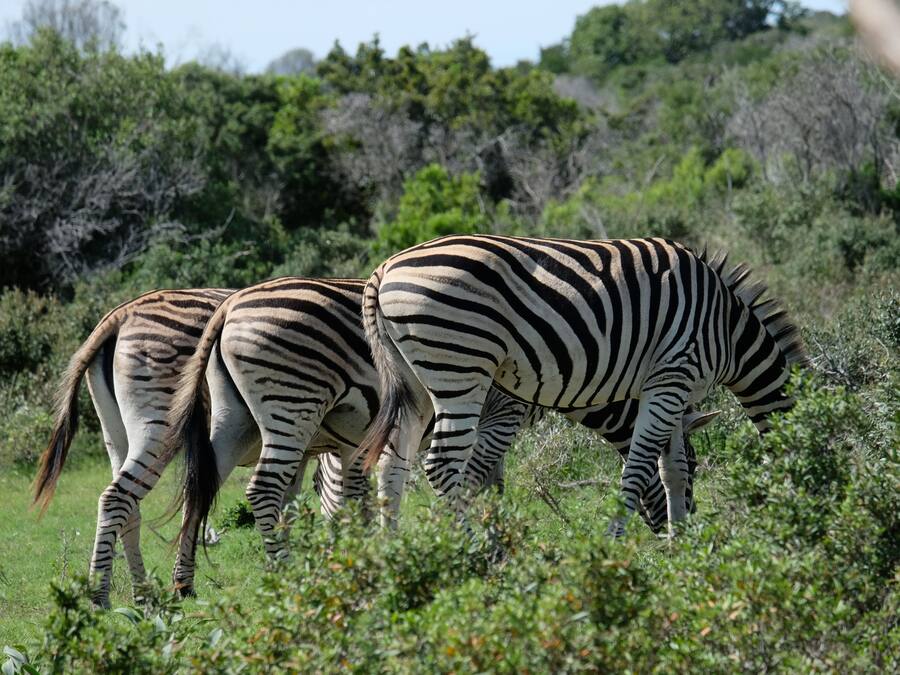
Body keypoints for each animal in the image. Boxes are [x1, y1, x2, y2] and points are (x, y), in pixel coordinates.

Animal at [32, 288, 360, 608]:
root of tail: (120, 314)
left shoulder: (299, 443)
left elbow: (289, 507)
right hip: (160, 421)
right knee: (119, 497)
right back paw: (102, 597)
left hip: (114, 433)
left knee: (129, 506)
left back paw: (142, 593)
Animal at [164, 277, 716, 589]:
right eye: (691, 474)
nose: (684, 533)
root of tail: (230, 305)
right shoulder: (503, 412)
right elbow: (478, 481)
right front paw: (484, 546)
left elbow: (488, 483)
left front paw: (492, 541)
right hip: (291, 404)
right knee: (261, 488)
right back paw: (285, 576)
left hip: (237, 418)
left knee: (201, 487)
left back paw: (183, 586)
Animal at [360, 235, 807, 536]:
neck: (727, 328)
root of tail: (384, 269)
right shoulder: (672, 376)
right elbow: (640, 467)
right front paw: (615, 542)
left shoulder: (671, 388)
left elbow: (670, 469)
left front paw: (680, 544)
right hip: (460, 368)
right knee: (442, 465)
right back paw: (472, 550)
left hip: (417, 388)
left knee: (391, 463)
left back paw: (394, 551)